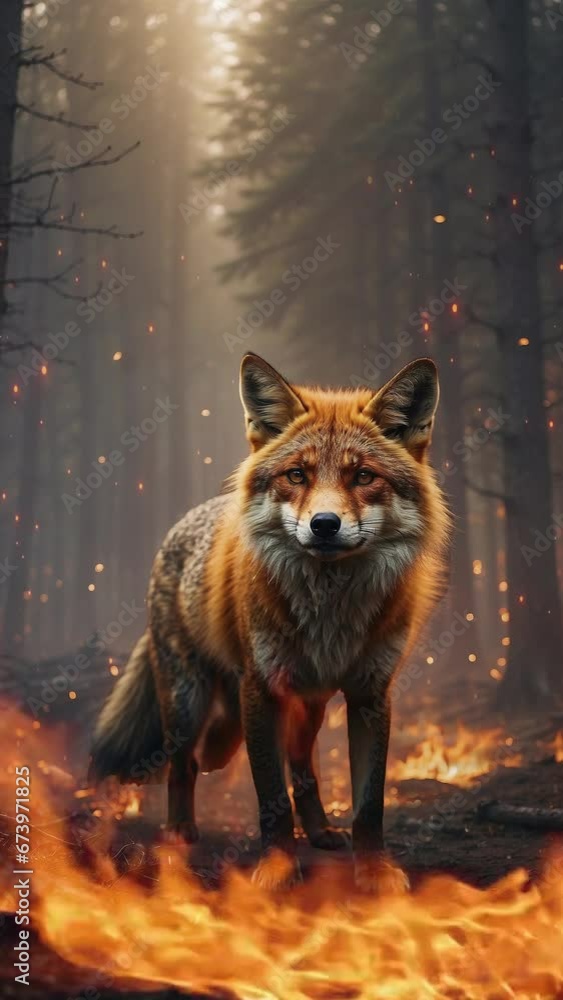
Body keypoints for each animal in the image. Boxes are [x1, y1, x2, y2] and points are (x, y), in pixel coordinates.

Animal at [90, 353, 450, 892]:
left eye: (363, 477)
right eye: (297, 475)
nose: (324, 525)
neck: (329, 614)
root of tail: (189, 519)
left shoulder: (370, 694)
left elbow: (368, 804)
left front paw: (374, 871)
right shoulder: (259, 689)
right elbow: (270, 800)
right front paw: (278, 869)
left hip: (310, 707)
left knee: (303, 771)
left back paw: (320, 830)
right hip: (187, 699)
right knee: (184, 764)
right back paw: (179, 831)